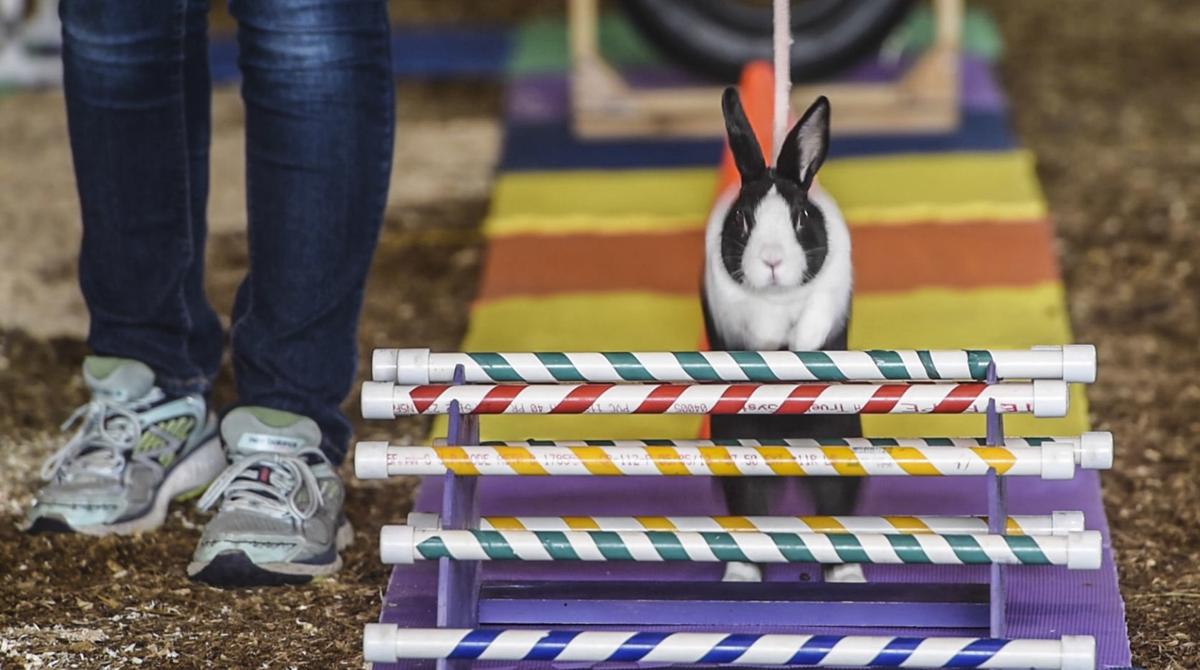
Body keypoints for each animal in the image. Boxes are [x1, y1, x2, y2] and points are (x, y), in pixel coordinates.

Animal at [702, 88, 864, 584]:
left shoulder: (830, 294)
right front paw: (774, 347)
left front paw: (802, 352)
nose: (771, 261)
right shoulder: (733, 306)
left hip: (839, 453)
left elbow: (813, 317)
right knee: (749, 514)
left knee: (836, 511)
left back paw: (848, 574)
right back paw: (740, 575)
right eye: (741, 219)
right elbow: (757, 326)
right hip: (741, 459)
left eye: (802, 216)